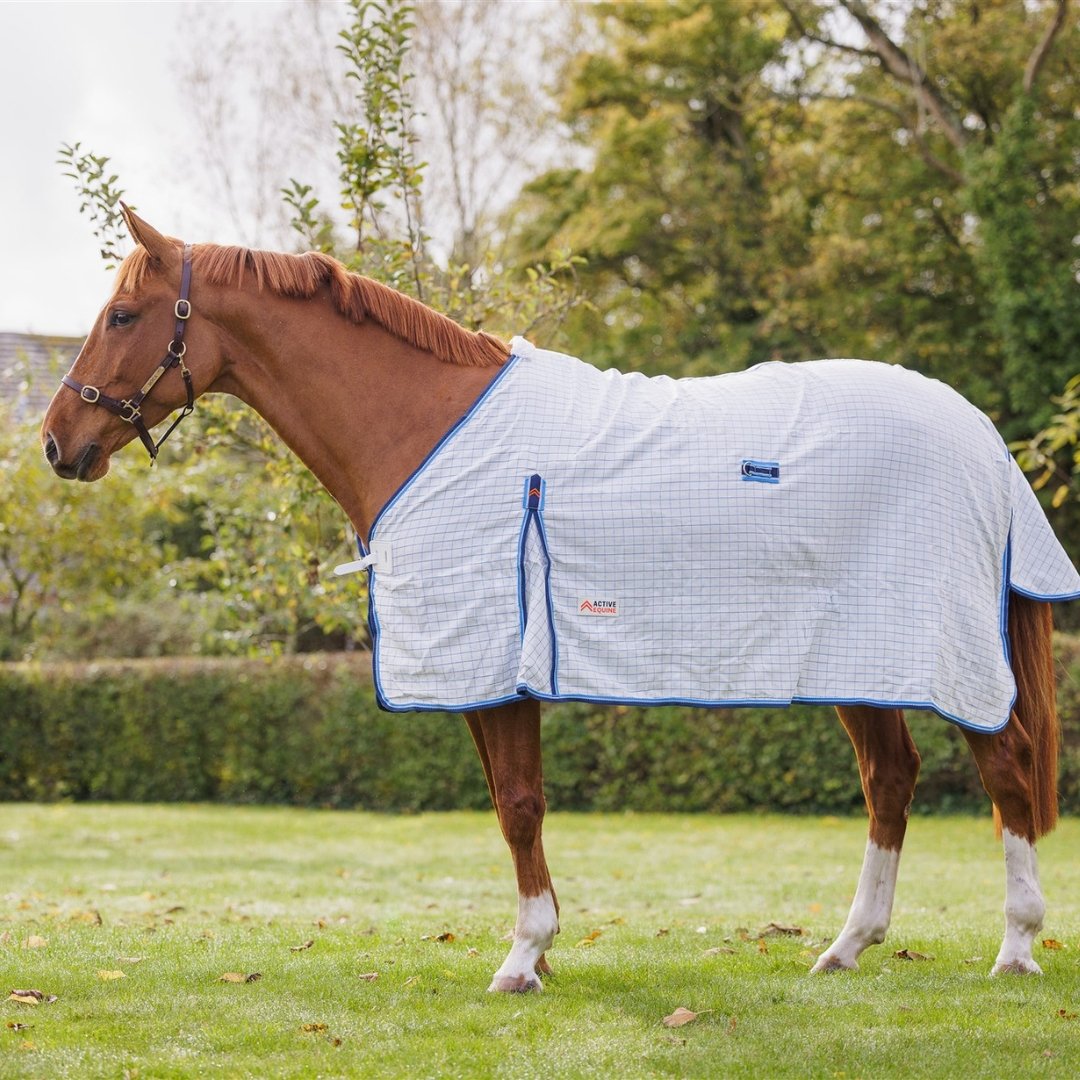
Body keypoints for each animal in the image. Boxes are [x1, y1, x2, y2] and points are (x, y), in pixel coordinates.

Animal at [41, 206, 1079, 992]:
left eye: (124, 315)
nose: (56, 443)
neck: (422, 428)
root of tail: (983, 440)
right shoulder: (482, 669)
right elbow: (513, 805)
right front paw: (535, 954)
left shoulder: (493, 665)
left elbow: (519, 806)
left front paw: (522, 958)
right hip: (859, 654)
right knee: (890, 779)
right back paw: (845, 948)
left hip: (943, 652)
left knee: (1006, 766)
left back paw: (1016, 948)